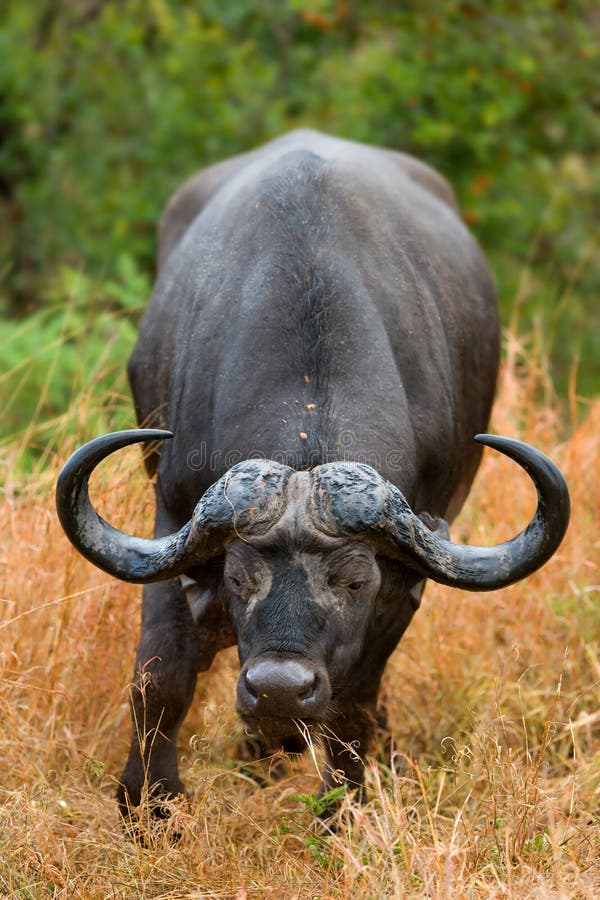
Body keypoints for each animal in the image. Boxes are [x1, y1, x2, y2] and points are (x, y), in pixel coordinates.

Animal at [56, 130, 569, 819]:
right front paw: (150, 808)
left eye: (355, 582)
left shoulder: (404, 585)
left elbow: (351, 705)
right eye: (239, 578)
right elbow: (160, 676)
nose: (278, 689)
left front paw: (342, 811)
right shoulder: (170, 526)